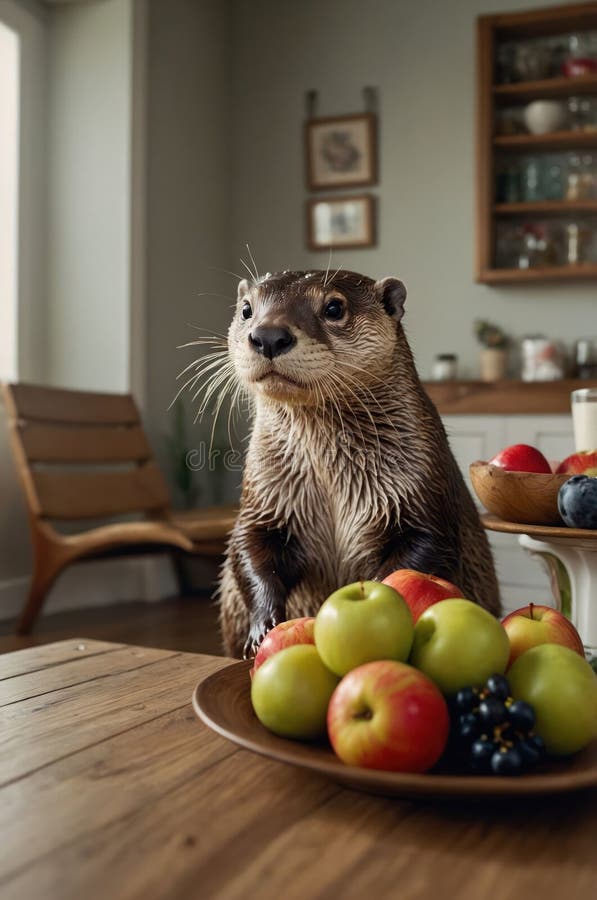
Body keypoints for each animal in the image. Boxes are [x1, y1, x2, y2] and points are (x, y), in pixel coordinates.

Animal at [218, 270, 500, 658]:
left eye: (334, 307)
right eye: (246, 309)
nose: (268, 335)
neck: (330, 482)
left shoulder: (421, 492)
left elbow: (423, 548)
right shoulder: (264, 498)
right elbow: (248, 550)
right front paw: (263, 627)